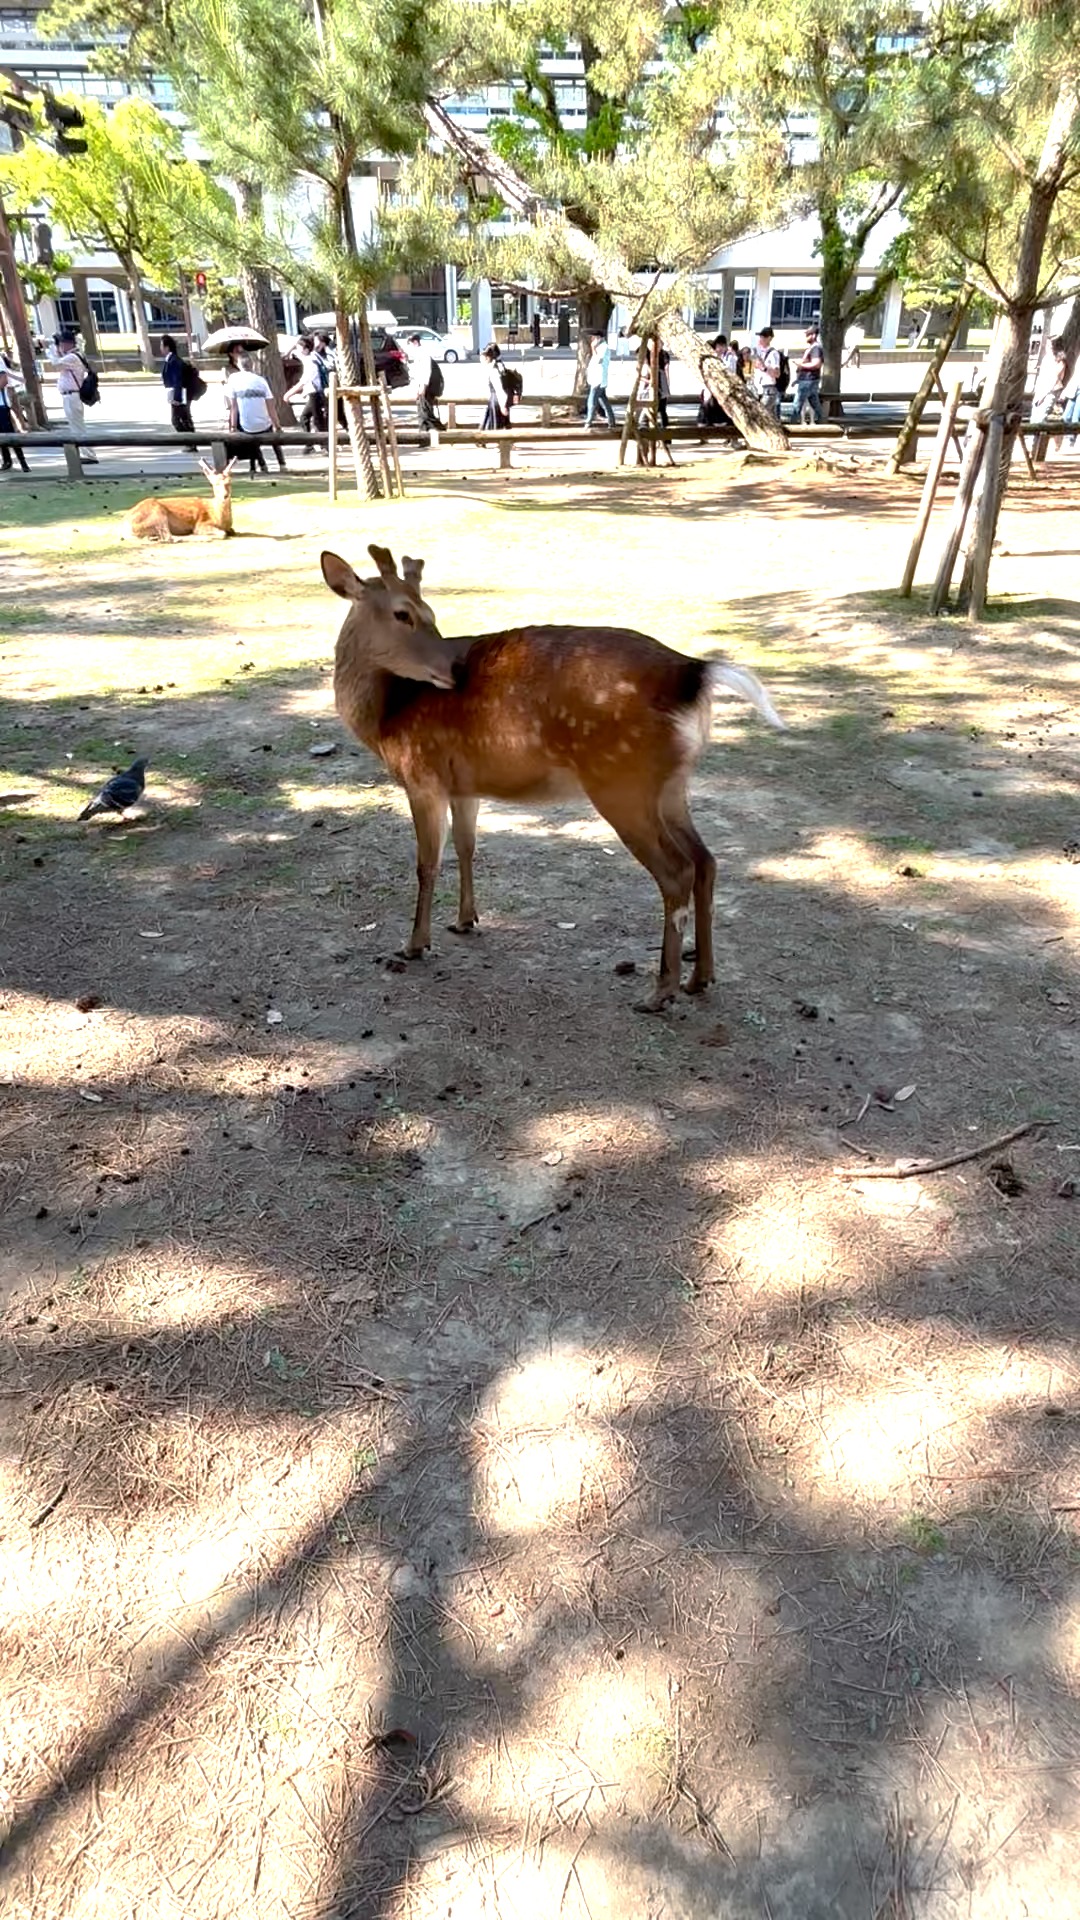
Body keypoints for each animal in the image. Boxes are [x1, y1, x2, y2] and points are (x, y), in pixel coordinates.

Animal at [322, 544, 786, 1012]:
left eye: (429, 612)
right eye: (404, 613)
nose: (456, 671)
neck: (386, 719)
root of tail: (694, 674)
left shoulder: (422, 774)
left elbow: (426, 863)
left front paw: (415, 943)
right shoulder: (464, 785)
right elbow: (468, 847)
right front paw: (466, 920)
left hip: (622, 782)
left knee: (677, 872)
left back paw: (660, 991)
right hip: (671, 785)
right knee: (706, 861)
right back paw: (700, 978)